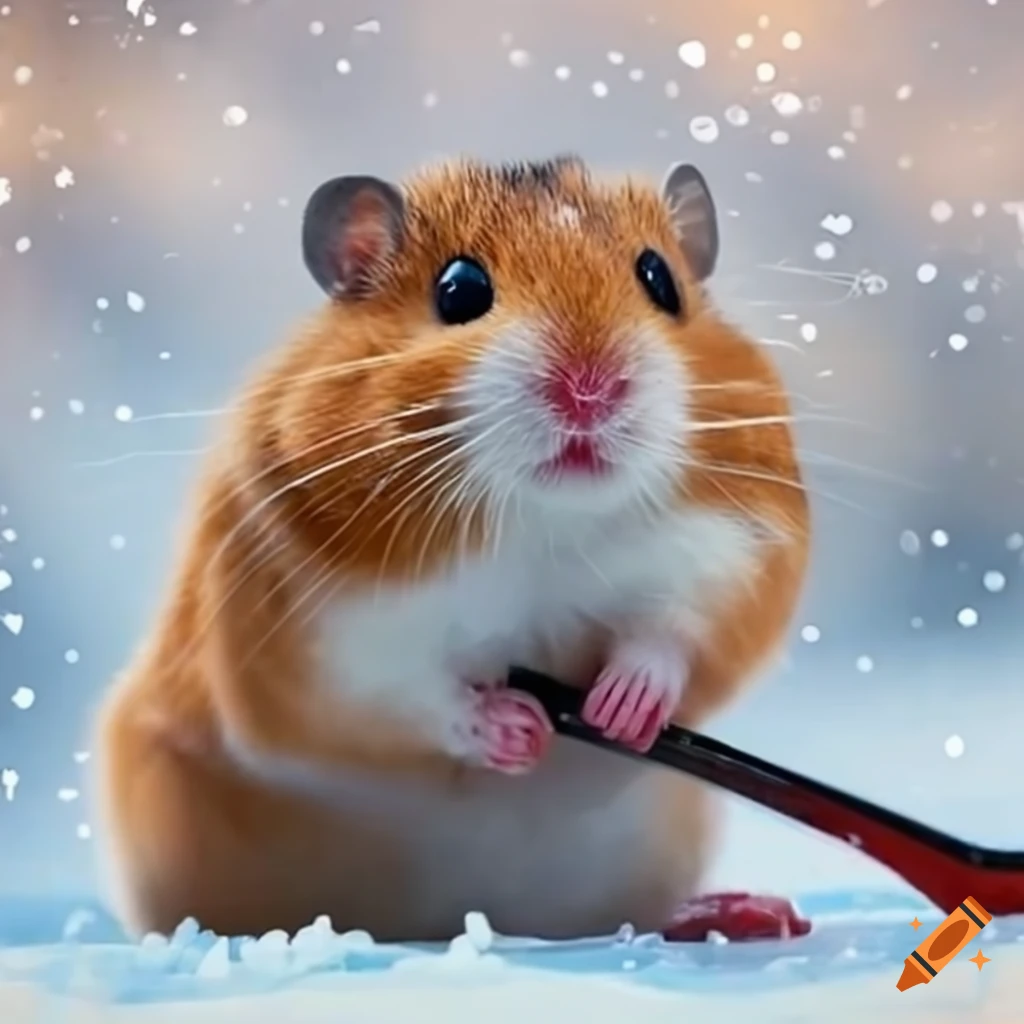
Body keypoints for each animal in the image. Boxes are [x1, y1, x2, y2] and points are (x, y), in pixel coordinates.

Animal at [94, 154, 810, 943]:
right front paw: (518, 730)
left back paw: (747, 913)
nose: (591, 391)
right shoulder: (319, 645)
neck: (544, 520)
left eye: (660, 279)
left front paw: (619, 708)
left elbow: (671, 635)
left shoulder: (736, 555)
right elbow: (415, 696)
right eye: (460, 290)